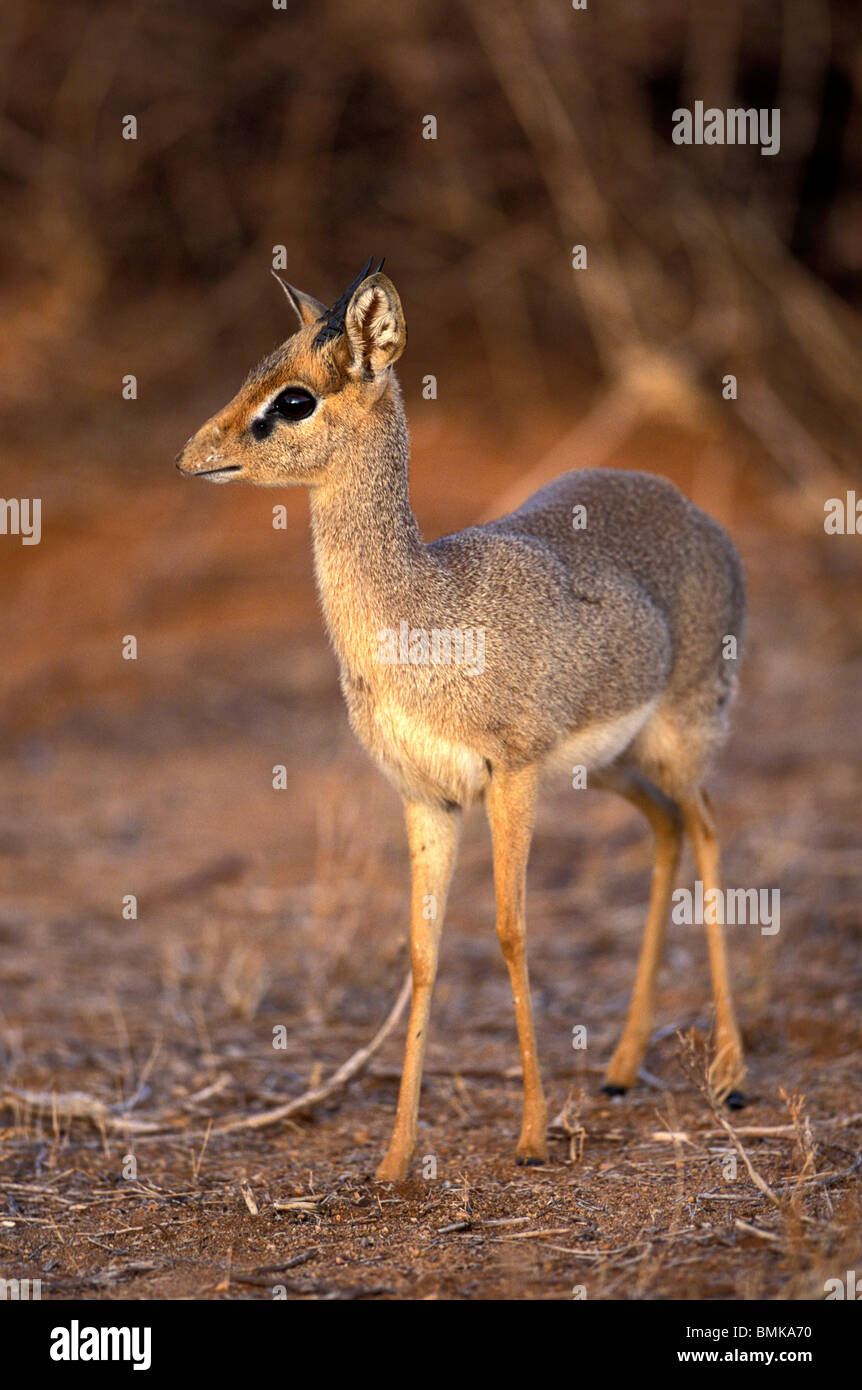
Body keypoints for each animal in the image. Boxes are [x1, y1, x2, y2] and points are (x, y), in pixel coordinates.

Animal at [176, 258, 747, 1181]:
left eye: (295, 398)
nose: (195, 456)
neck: (429, 611)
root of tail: (694, 511)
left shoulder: (509, 779)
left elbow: (512, 932)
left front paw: (532, 1134)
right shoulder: (427, 799)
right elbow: (423, 952)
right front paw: (395, 1158)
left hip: (683, 740)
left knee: (706, 830)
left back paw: (731, 1072)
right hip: (612, 768)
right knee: (666, 830)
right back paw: (622, 1067)